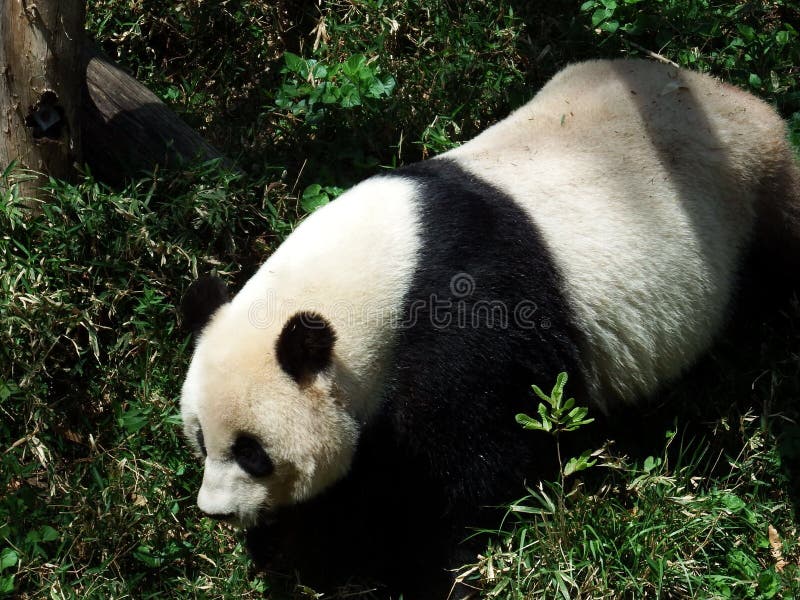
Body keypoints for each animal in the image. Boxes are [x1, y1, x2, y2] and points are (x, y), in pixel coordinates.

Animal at [180, 59, 800, 597]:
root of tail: (742, 100)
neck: (379, 271)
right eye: (200, 438)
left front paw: (409, 563)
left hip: (753, 205)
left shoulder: (467, 325)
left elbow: (469, 467)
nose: (215, 512)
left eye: (253, 452)